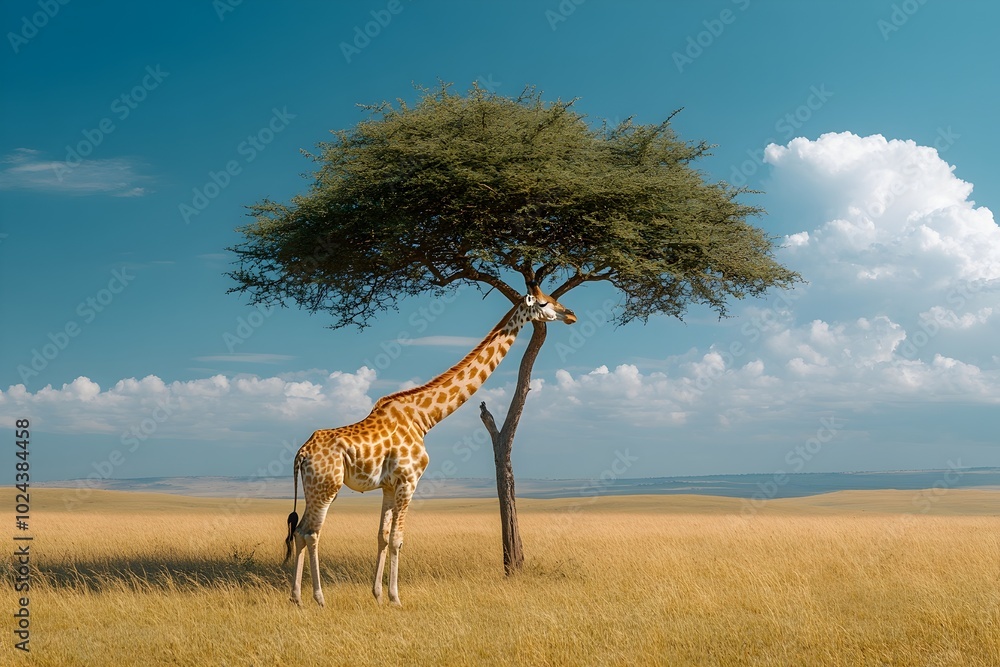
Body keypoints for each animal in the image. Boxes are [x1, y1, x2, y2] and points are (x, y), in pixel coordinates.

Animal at [284, 282, 576, 607]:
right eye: (543, 302)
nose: (571, 314)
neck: (424, 418)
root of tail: (300, 454)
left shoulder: (389, 486)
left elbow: (382, 536)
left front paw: (377, 595)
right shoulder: (409, 480)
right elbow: (397, 539)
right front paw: (396, 598)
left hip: (313, 489)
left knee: (299, 531)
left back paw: (296, 598)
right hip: (327, 487)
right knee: (311, 532)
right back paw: (319, 598)